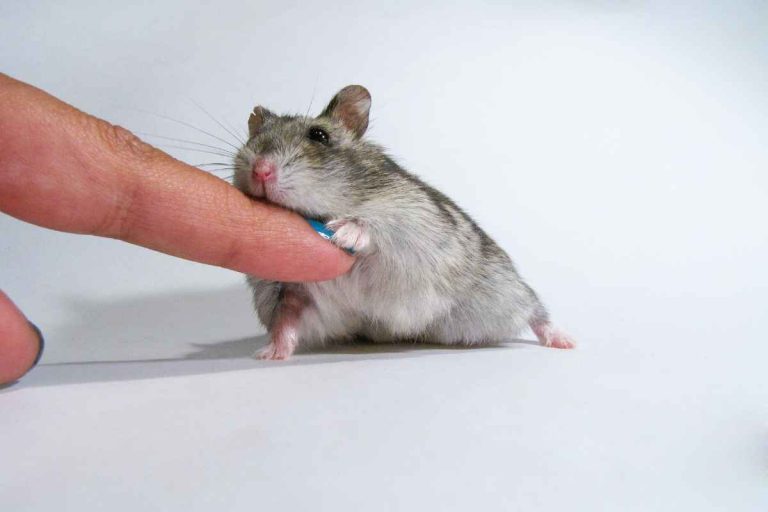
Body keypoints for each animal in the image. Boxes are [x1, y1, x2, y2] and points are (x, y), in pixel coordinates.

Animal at [233, 85, 574, 359]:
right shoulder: (292, 289)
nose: (260, 170)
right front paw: (267, 355)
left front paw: (344, 234)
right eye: (252, 140)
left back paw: (566, 341)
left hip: (506, 291)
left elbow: (375, 225)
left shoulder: (410, 223)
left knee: (536, 310)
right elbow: (286, 319)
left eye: (319, 135)